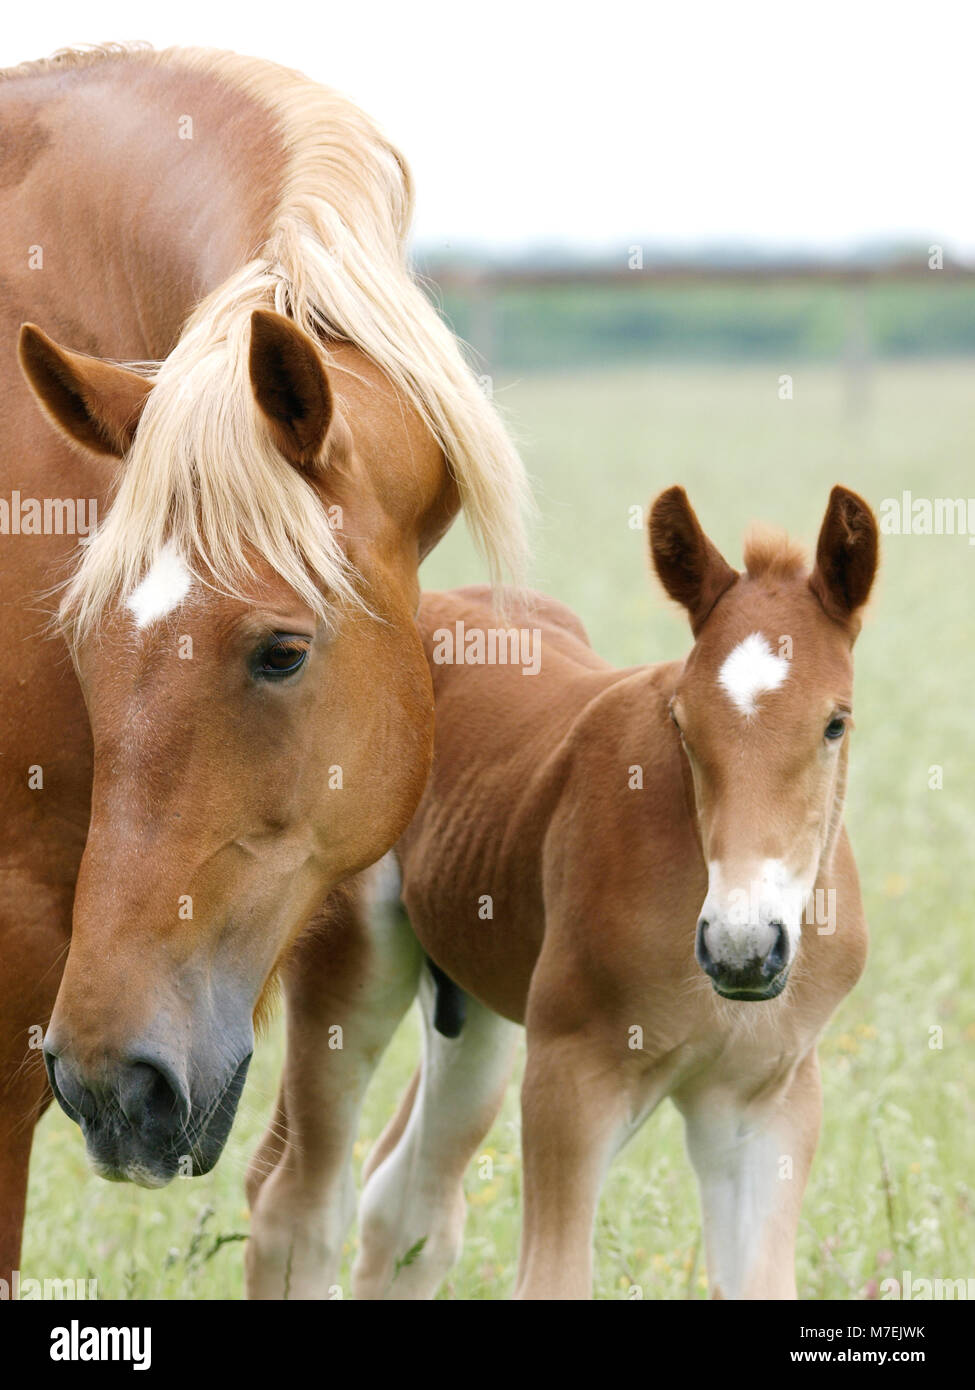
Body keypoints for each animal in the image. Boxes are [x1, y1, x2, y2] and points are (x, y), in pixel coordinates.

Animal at [251, 484, 878, 1299]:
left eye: (834, 723)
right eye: (683, 722)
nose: (742, 949)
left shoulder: (764, 1103)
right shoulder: (571, 1076)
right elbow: (551, 1278)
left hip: (471, 1013)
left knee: (408, 1203)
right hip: (351, 974)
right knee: (300, 1203)